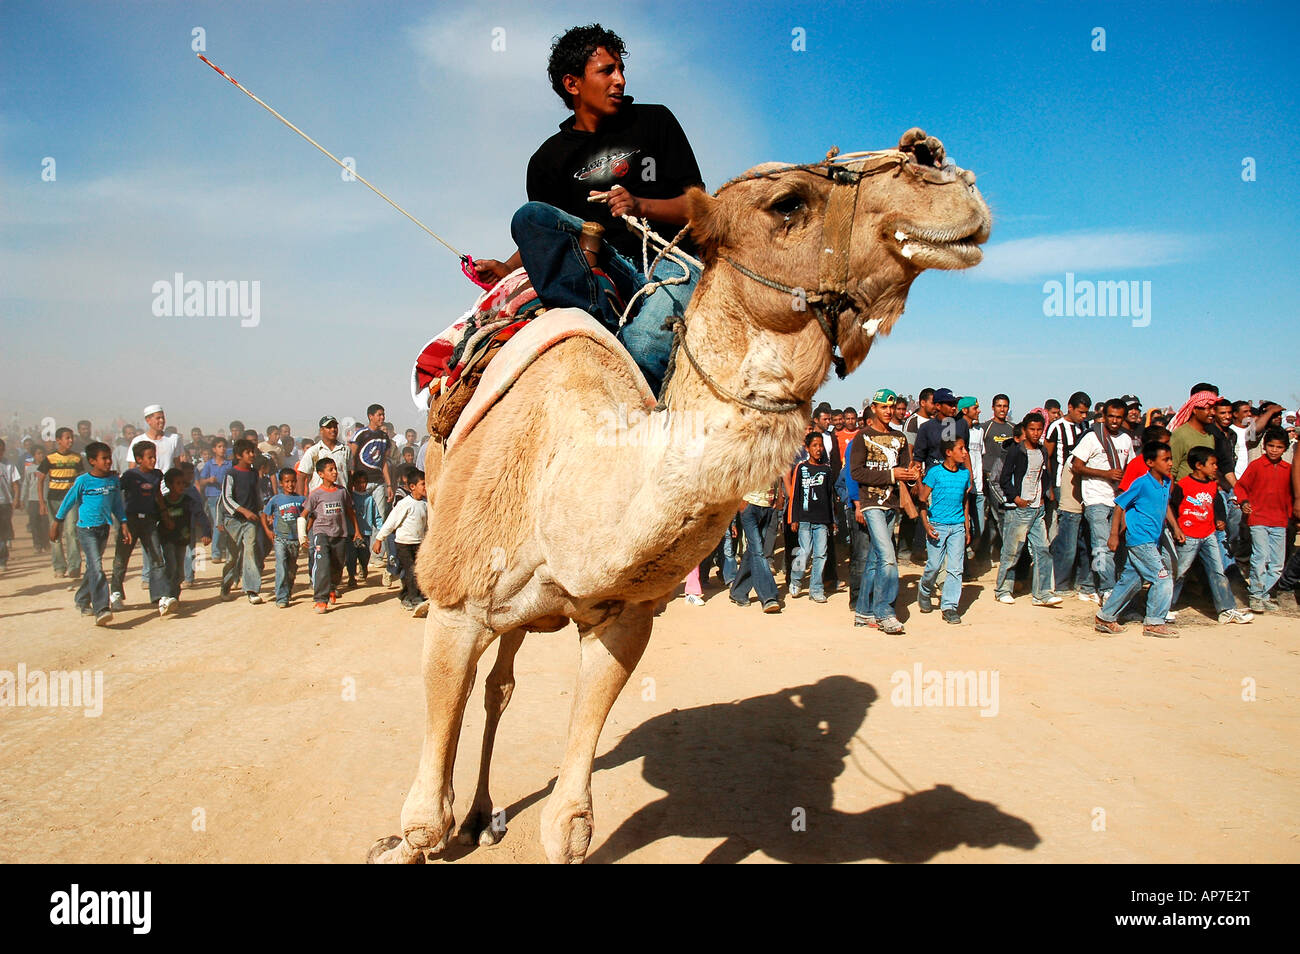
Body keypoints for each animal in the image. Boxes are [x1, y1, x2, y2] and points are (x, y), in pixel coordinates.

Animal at [369, 129, 991, 864]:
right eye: (788, 202)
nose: (935, 161)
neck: (568, 475)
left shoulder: (623, 620)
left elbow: (568, 824)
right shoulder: (454, 600)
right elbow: (422, 820)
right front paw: (407, 839)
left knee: (501, 686)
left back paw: (482, 813)